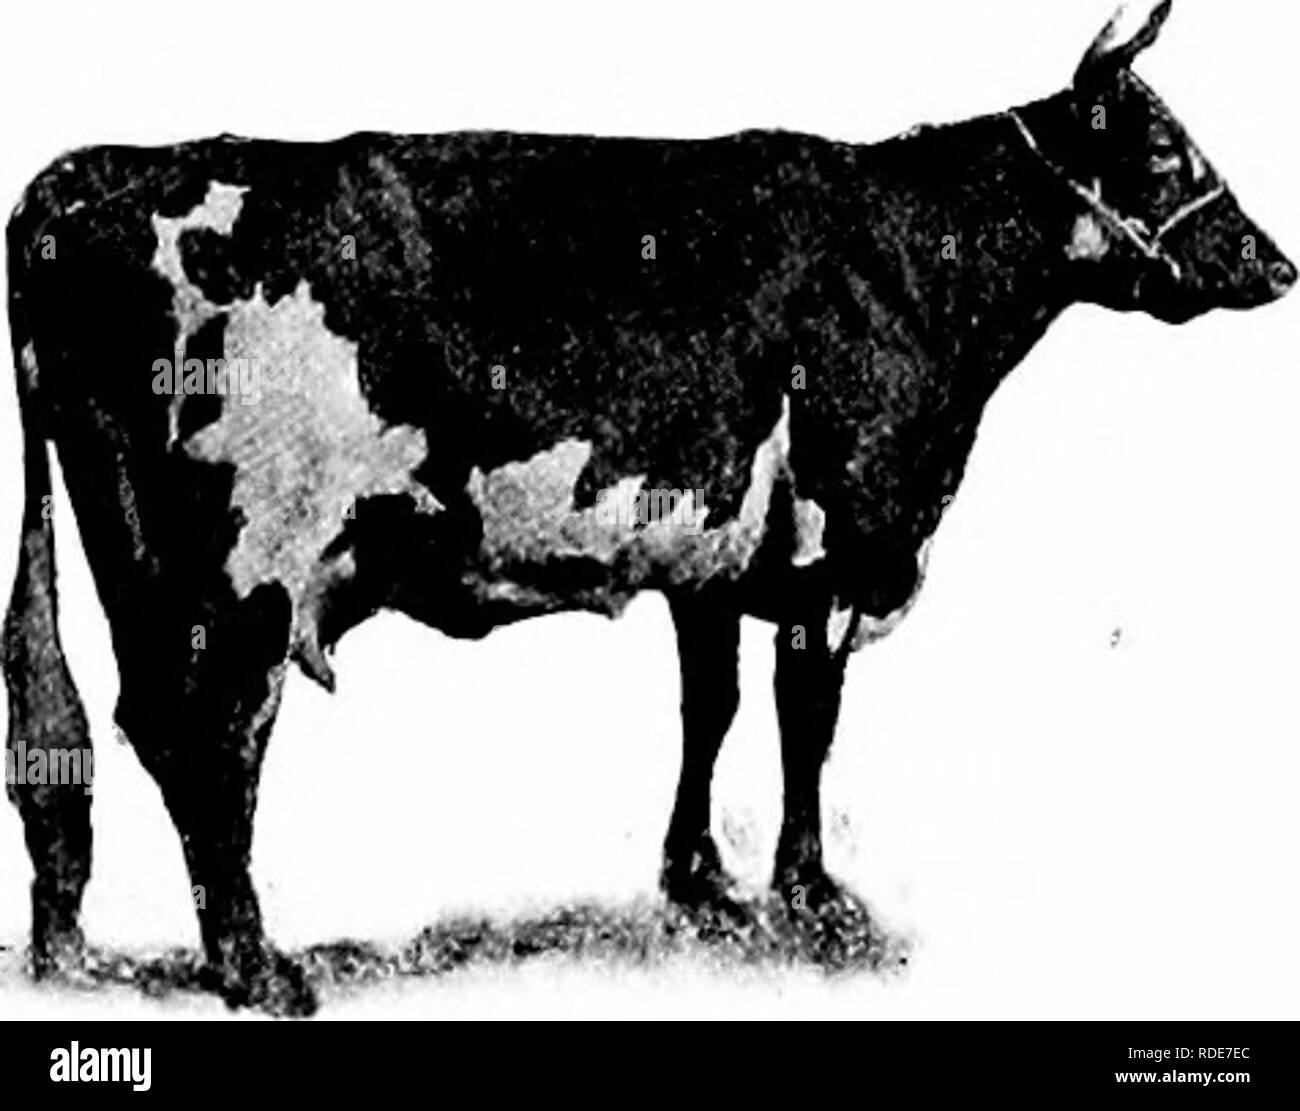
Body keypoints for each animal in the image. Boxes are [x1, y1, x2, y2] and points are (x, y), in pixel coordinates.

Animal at [3, 0, 1293, 1015]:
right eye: (1162, 148)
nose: (1274, 264)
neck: (910, 261)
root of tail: (95, 171)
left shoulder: (711, 552)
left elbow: (708, 707)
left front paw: (701, 884)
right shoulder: (836, 546)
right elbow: (806, 717)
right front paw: (812, 899)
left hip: (131, 546)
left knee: (129, 728)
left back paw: (117, 953)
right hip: (244, 567)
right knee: (217, 732)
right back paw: (257, 968)